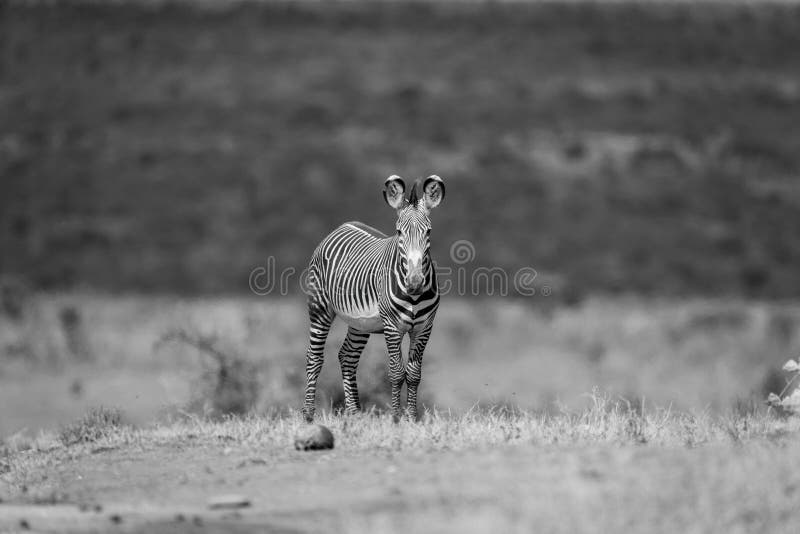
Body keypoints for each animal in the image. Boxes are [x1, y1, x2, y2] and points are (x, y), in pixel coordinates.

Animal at [302, 175, 445, 423]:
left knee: (347, 357)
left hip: (360, 322)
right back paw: (309, 415)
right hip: (320, 308)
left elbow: (414, 374)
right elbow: (396, 373)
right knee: (314, 357)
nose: (415, 281)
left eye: (428, 232)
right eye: (399, 232)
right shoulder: (391, 326)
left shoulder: (424, 327)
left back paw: (355, 414)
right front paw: (396, 418)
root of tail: (343, 225)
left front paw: (412, 419)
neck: (413, 296)